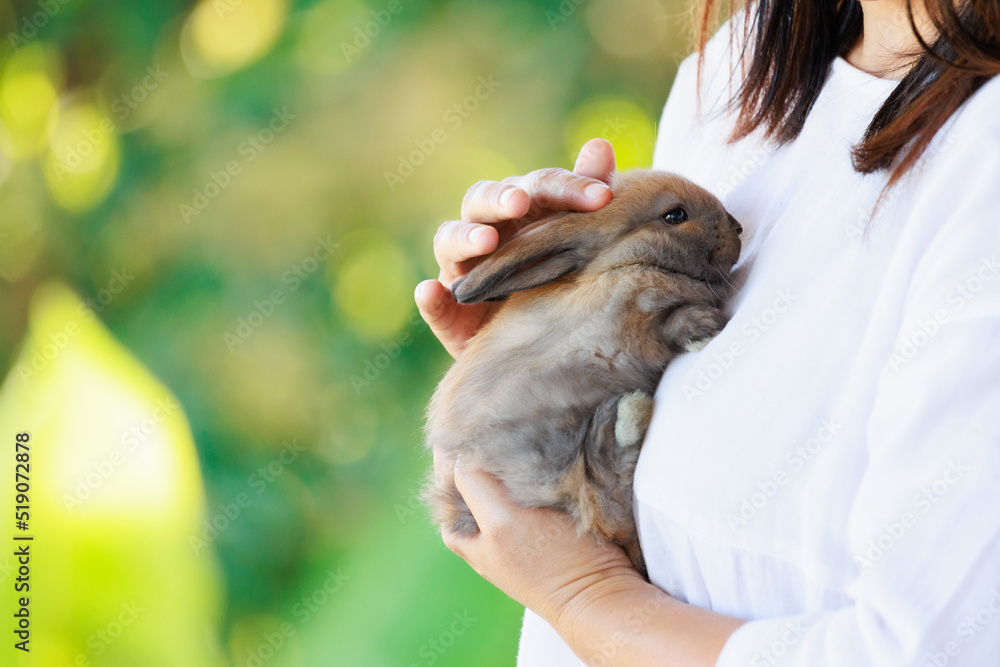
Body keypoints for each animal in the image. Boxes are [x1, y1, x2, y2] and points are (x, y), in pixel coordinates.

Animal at [423, 169, 742, 576]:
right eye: (675, 215)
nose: (737, 226)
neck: (622, 265)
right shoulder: (633, 330)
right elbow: (667, 326)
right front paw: (705, 327)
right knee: (599, 500)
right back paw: (627, 418)